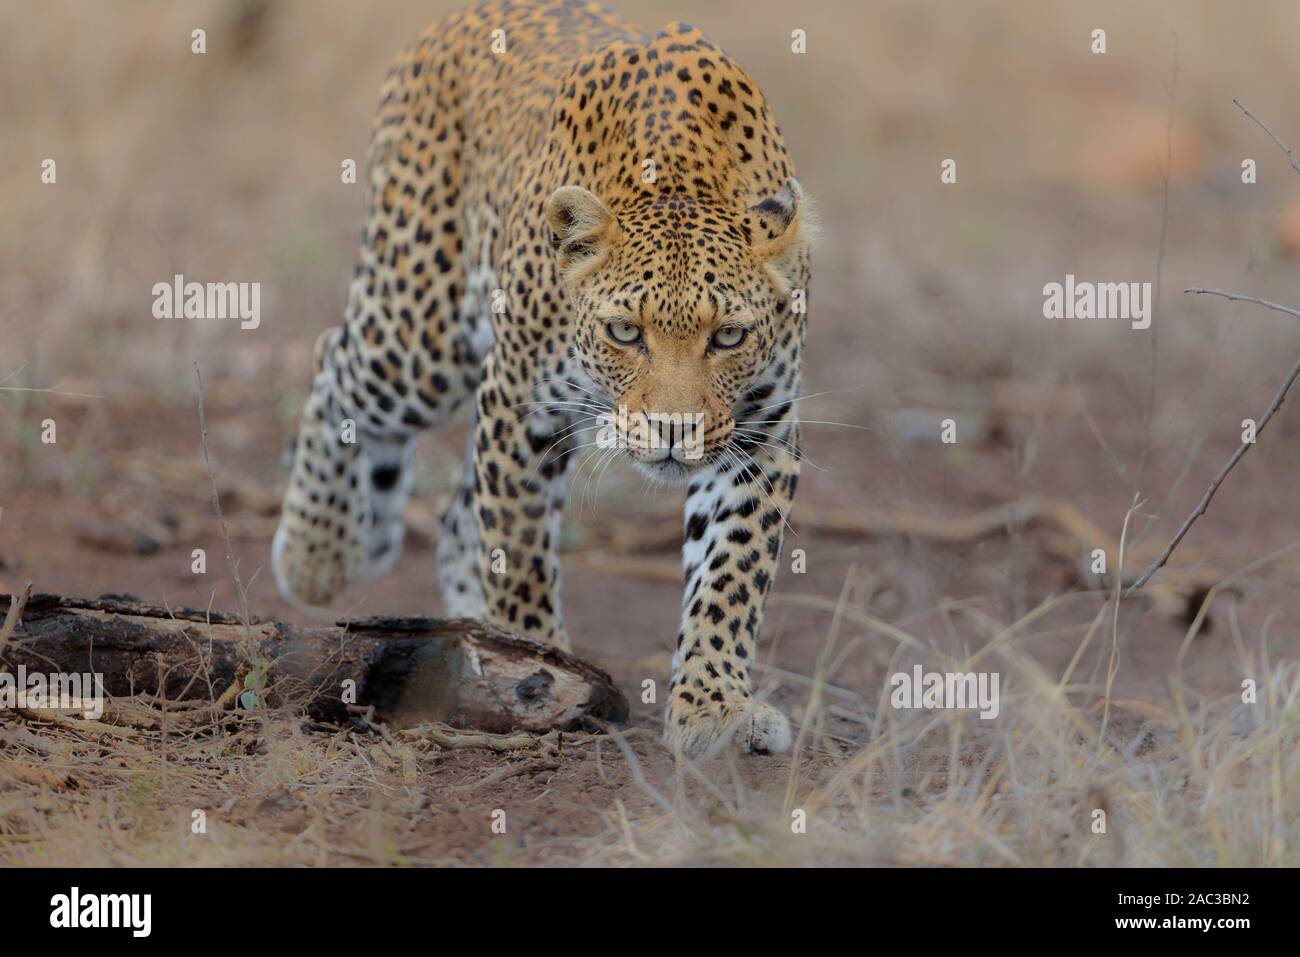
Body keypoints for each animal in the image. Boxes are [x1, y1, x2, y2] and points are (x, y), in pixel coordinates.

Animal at [272, 0, 814, 756]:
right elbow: (521, 553)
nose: (674, 430)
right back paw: (319, 551)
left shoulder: (760, 430)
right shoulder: (519, 406)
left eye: (729, 337)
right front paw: (538, 667)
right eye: (625, 332)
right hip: (419, 331)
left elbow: (731, 576)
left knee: (454, 517)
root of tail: (456, 18)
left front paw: (716, 706)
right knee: (333, 361)